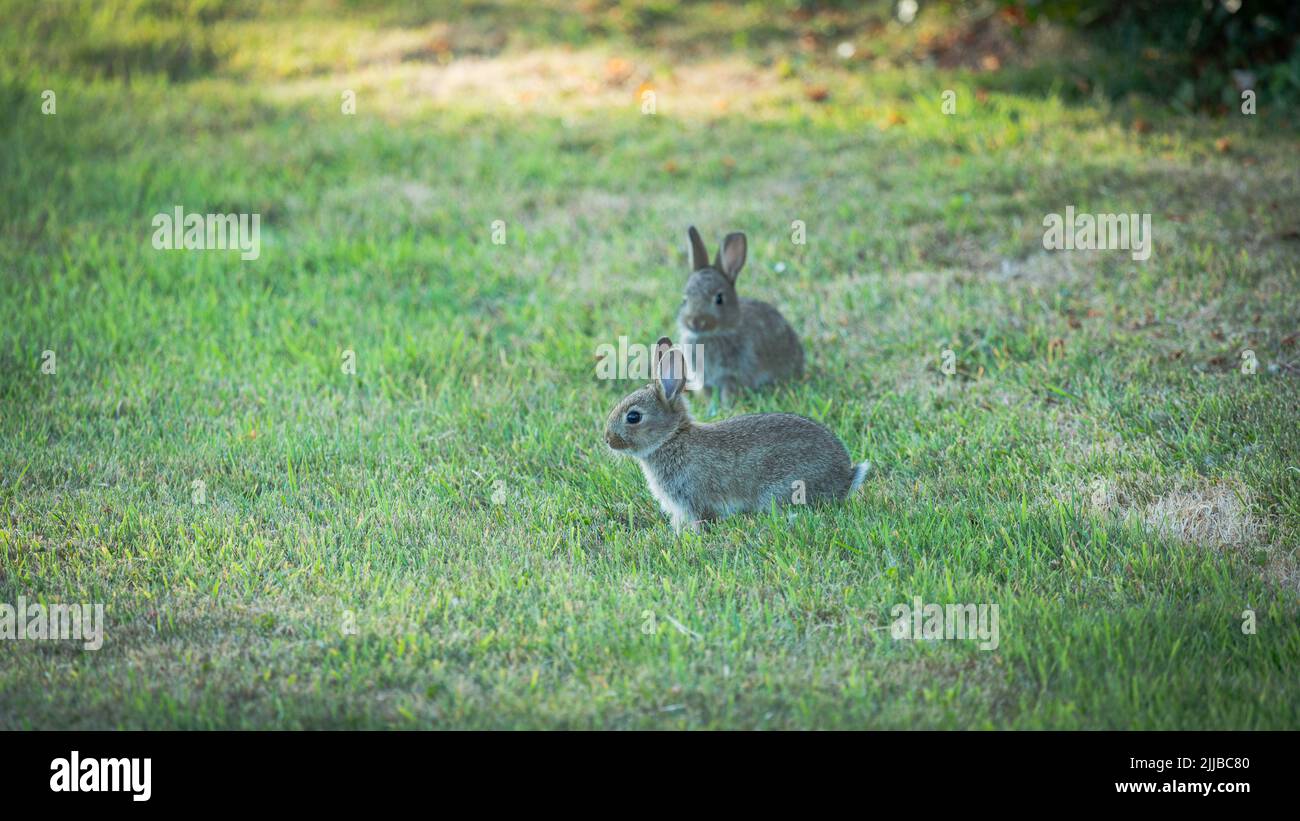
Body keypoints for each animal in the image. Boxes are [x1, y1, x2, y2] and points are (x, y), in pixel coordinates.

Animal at [677, 226, 804, 406]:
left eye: (719, 299)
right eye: (684, 299)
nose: (695, 321)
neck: (712, 335)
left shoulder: (733, 375)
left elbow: (729, 391)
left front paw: (726, 406)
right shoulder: (704, 379)